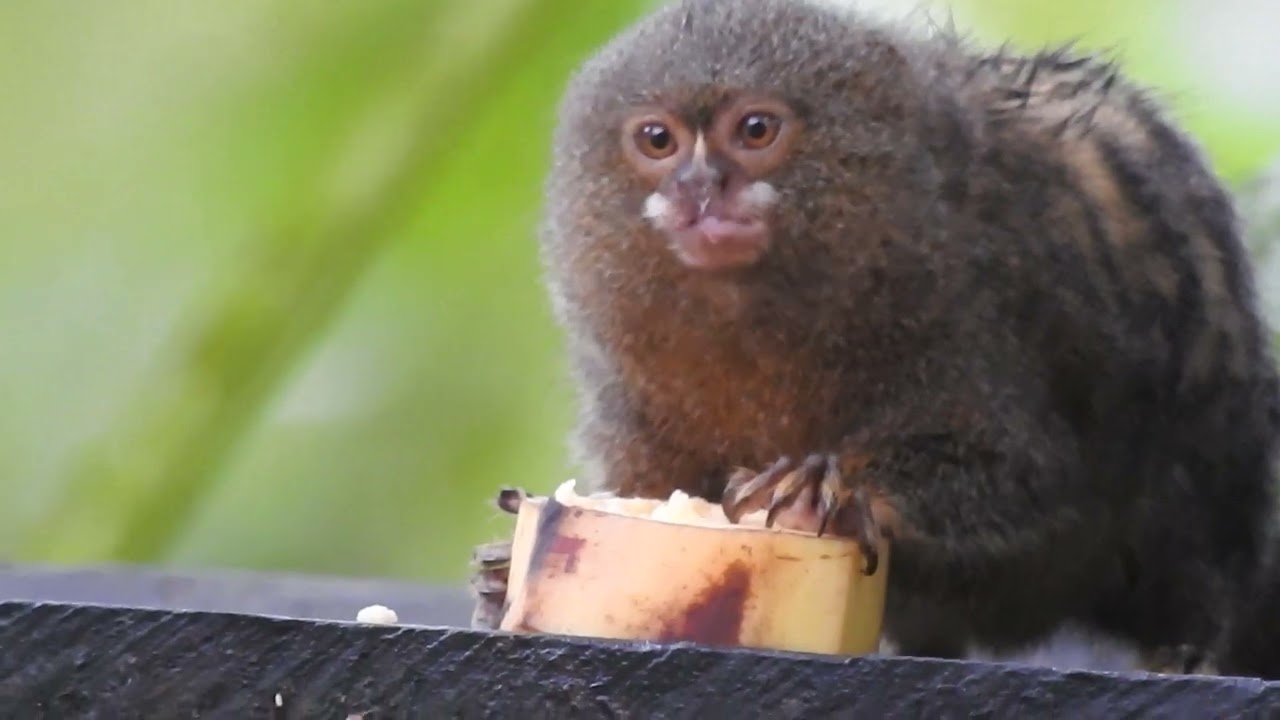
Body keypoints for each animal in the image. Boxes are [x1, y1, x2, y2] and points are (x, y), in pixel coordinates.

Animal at [470, 0, 1280, 678]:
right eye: (658, 141)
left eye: (755, 130)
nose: (700, 189)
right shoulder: (640, 396)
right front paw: (501, 574)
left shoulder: (980, 315)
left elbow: (1028, 485)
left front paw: (837, 487)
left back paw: (1190, 643)